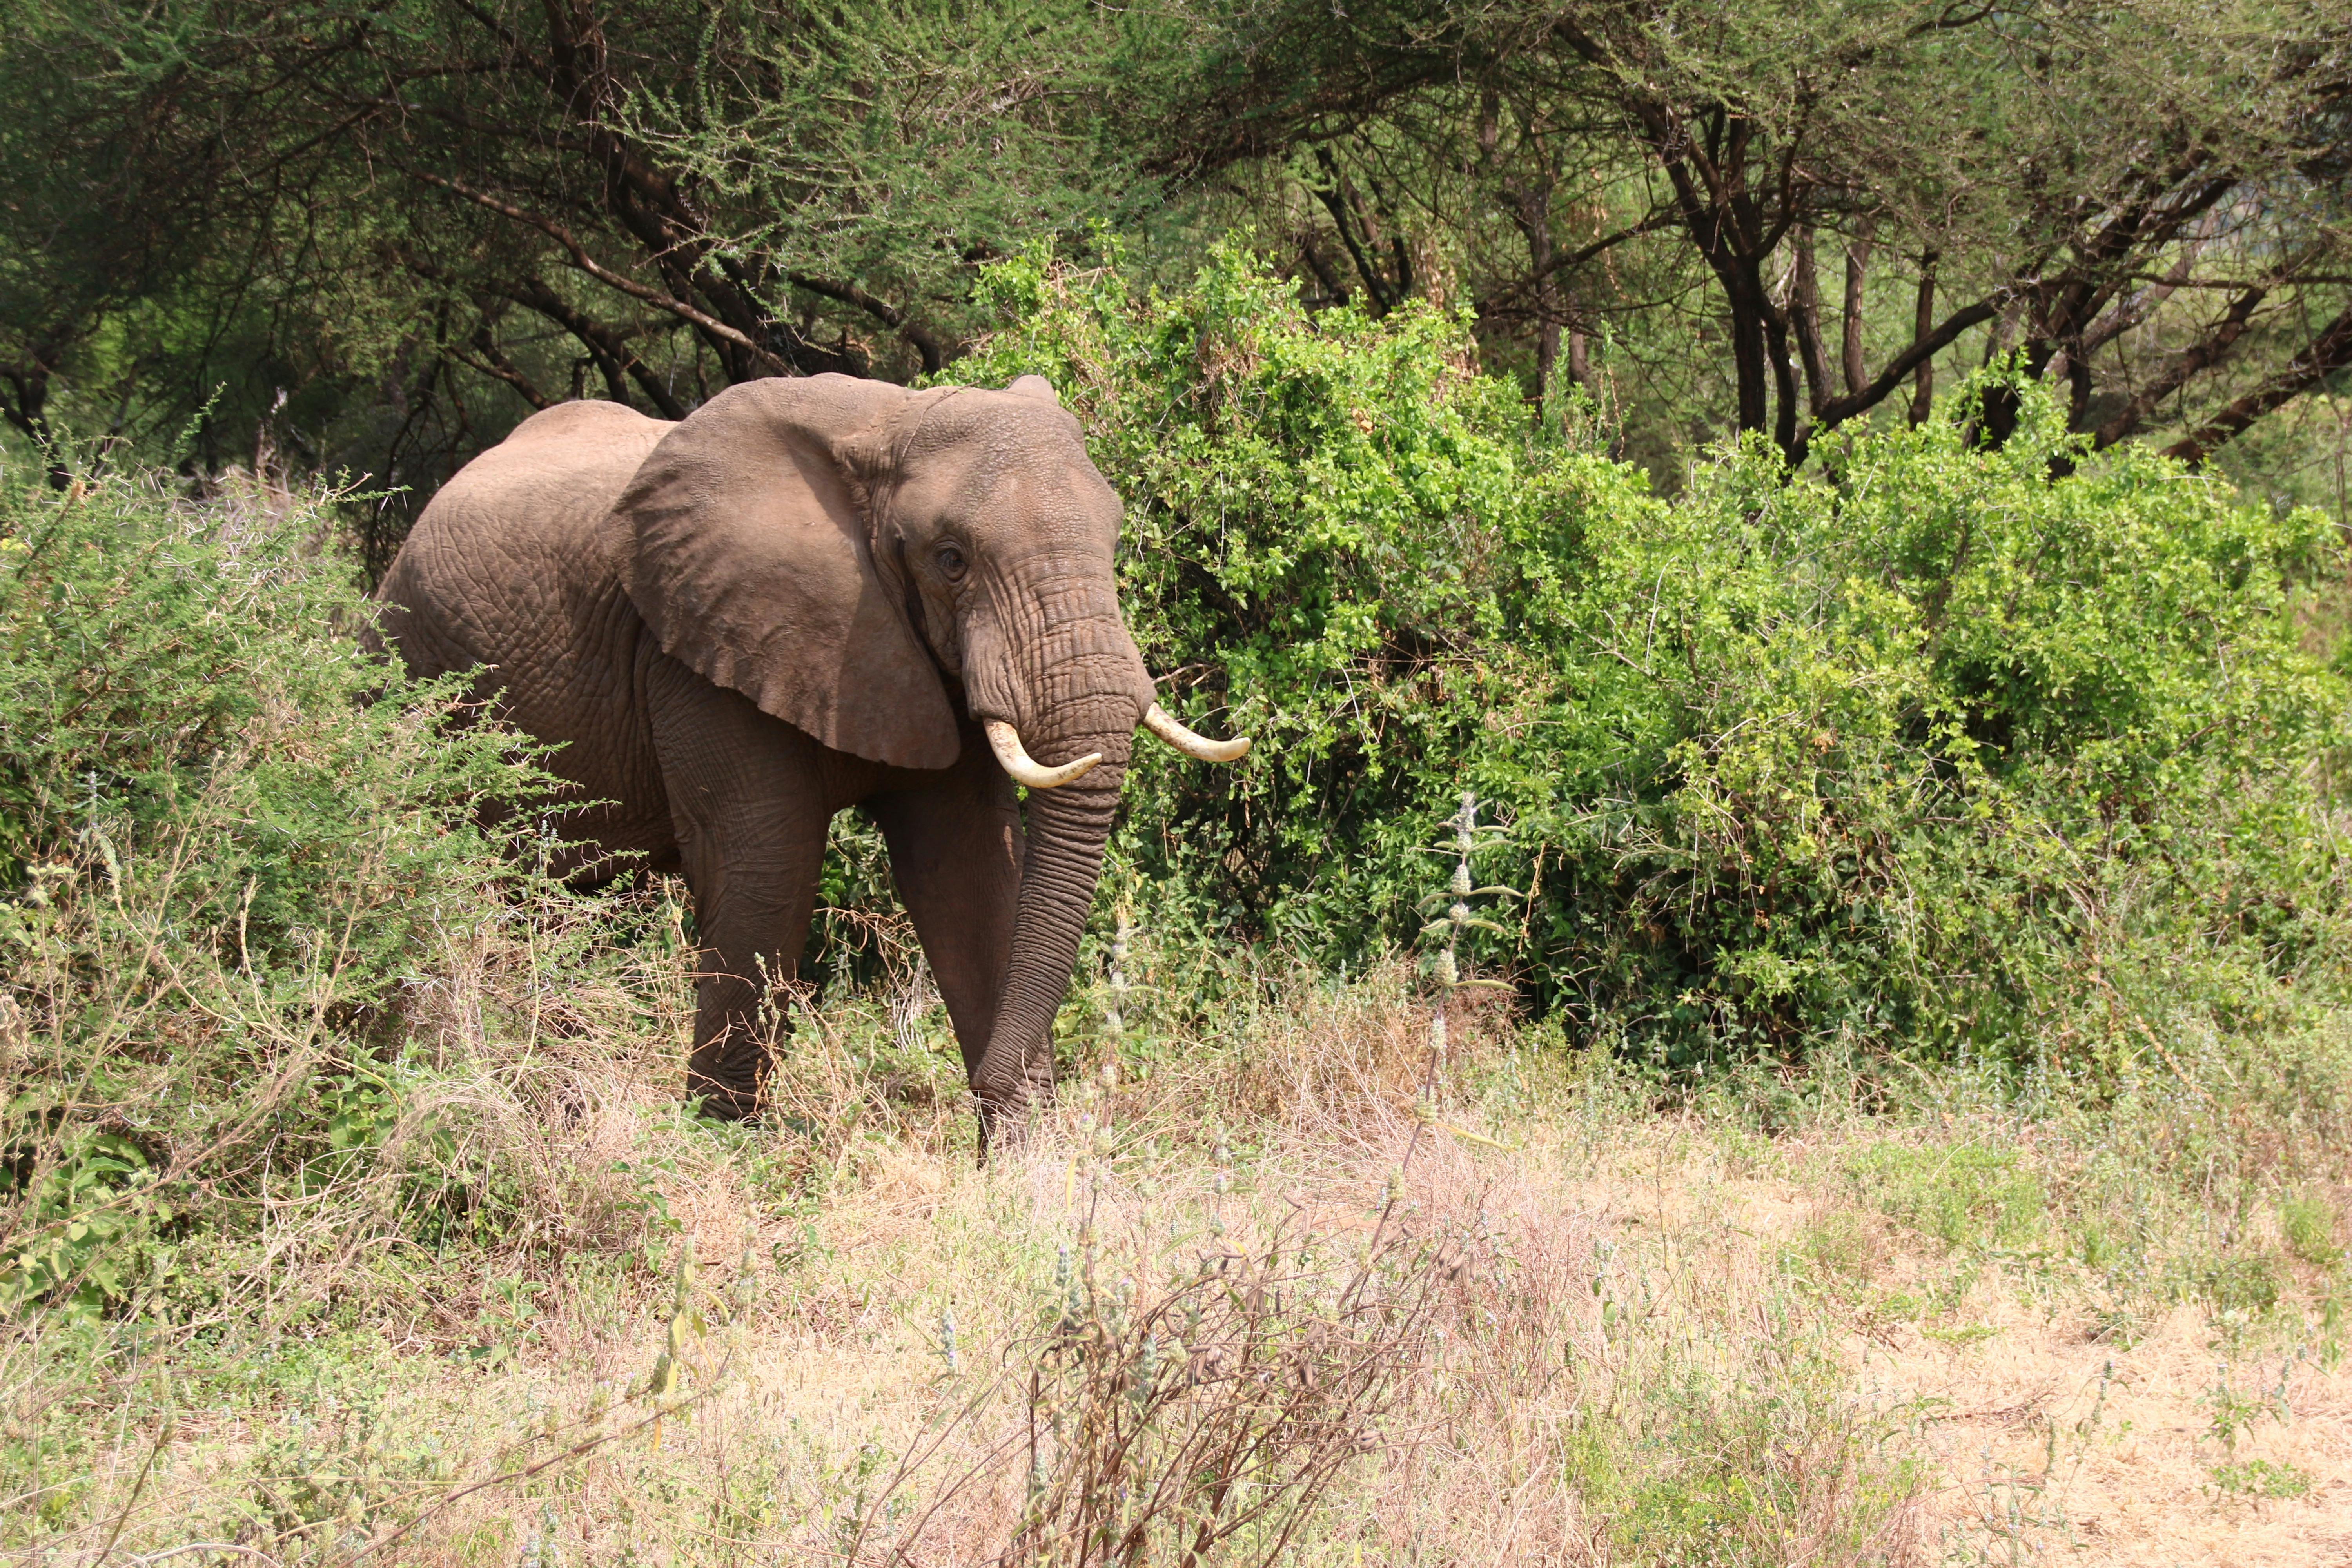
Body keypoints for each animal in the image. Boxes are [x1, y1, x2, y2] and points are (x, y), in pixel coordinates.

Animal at [371, 373, 1245, 1148]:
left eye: (1115, 540)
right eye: (951, 558)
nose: (987, 1083)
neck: (889, 424)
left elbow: (970, 870)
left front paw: (1024, 1170)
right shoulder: (702, 647)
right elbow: (768, 867)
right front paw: (725, 1153)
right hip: (412, 662)